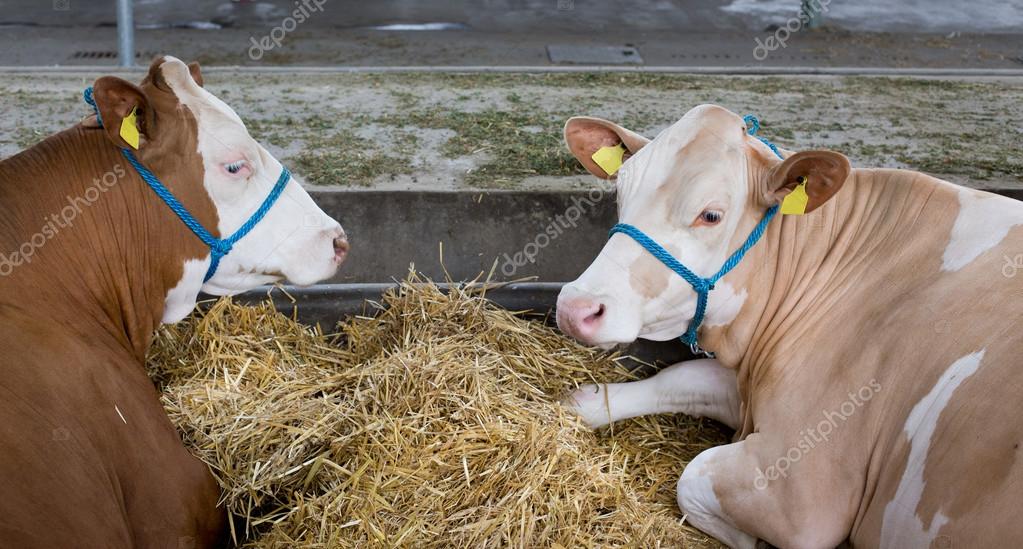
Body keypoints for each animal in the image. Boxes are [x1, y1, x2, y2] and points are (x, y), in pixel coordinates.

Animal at [557, 104, 1023, 548]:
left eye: (711, 215)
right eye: (621, 194)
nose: (575, 306)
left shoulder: (805, 495)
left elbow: (693, 475)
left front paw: (751, 540)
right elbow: (683, 376)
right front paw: (583, 402)